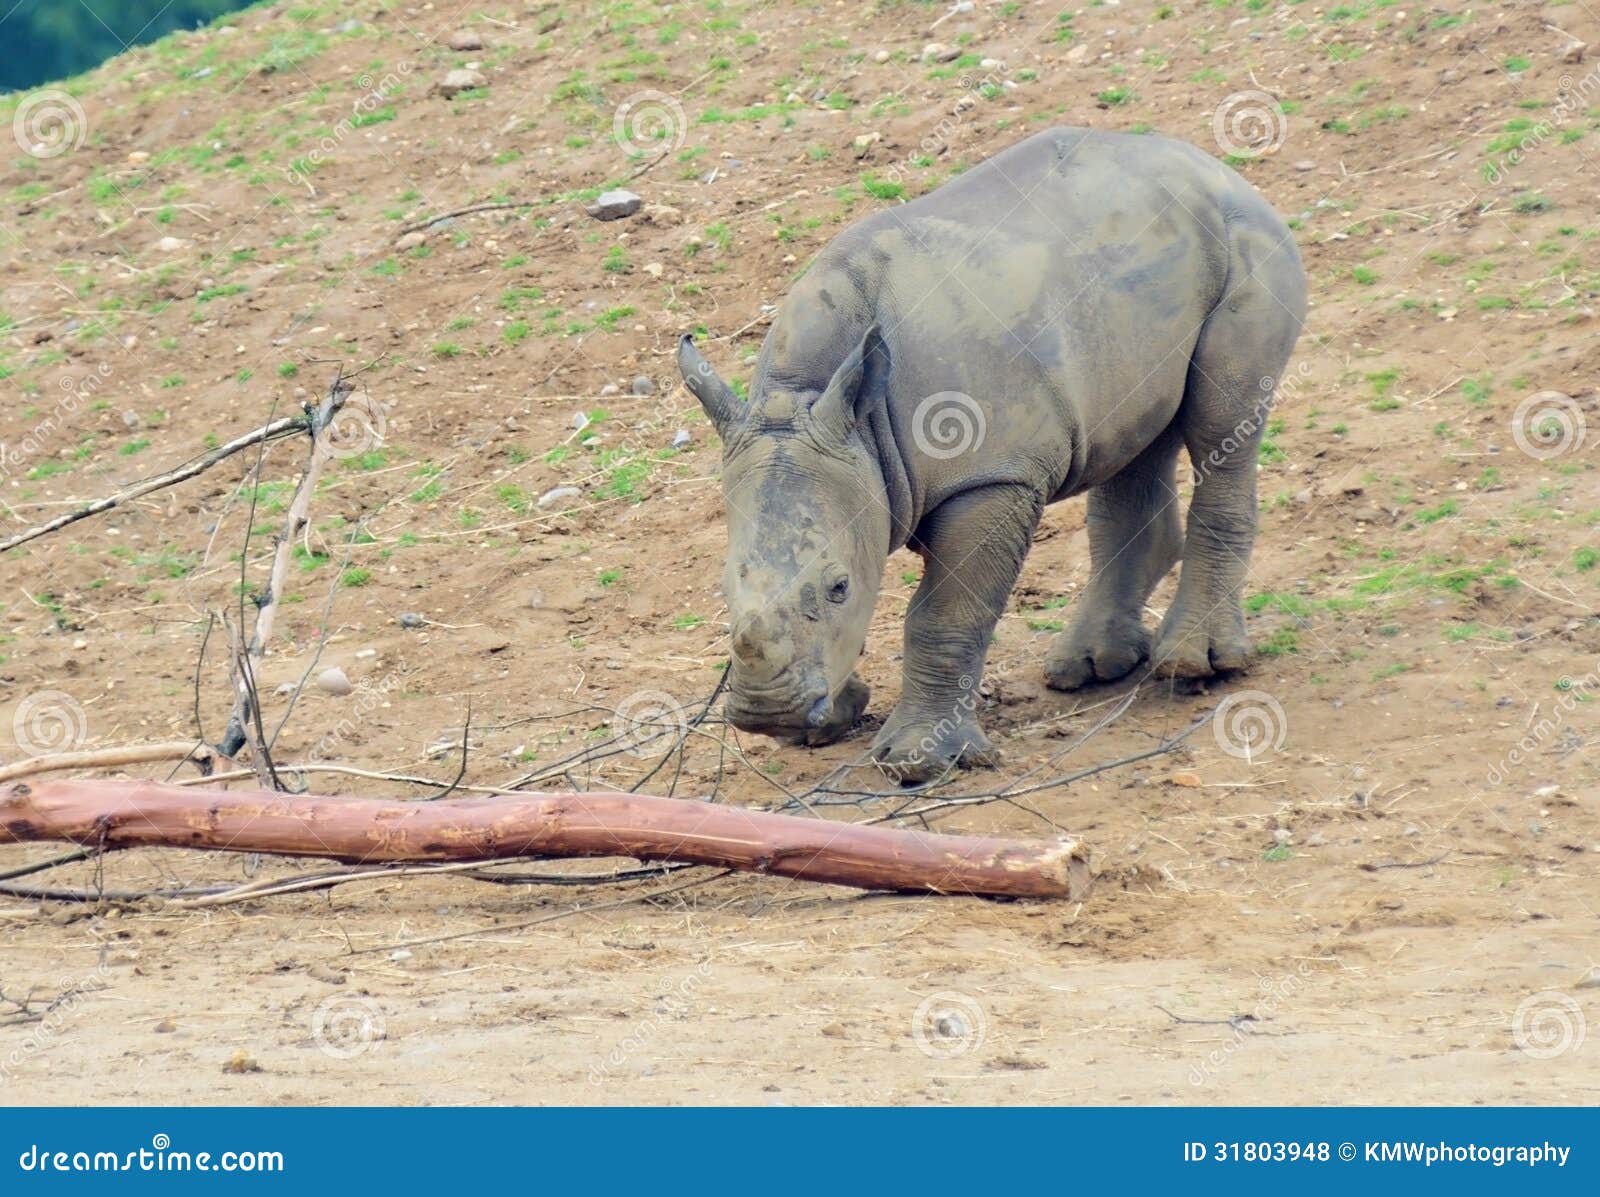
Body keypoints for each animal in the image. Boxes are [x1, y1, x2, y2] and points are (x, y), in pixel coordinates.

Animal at [677, 127, 1306, 781]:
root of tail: (1212, 164)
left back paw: (1193, 665)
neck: (825, 406)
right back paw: (1089, 668)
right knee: (1135, 438)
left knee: (1222, 425)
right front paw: (828, 723)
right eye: (721, 588)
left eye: (838, 587)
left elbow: (946, 613)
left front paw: (918, 761)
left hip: (1244, 241)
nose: (766, 713)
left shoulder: (992, 477)